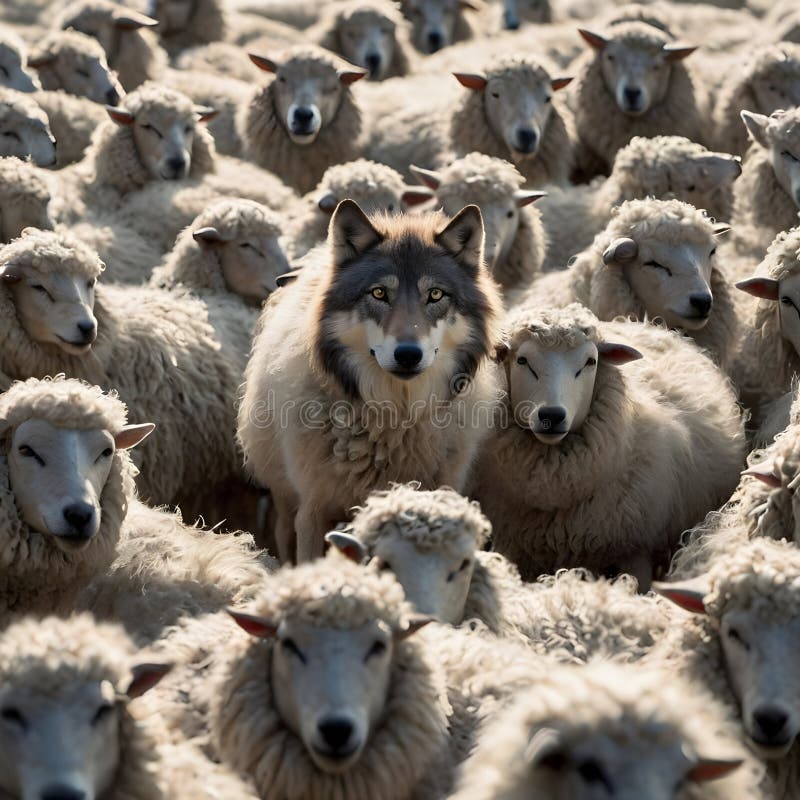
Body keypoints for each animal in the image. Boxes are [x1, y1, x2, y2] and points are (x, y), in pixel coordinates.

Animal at [473, 304, 745, 590]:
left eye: (590, 362)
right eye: (522, 360)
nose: (551, 415)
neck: (554, 492)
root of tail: (650, 325)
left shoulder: (636, 551)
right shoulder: (518, 550)